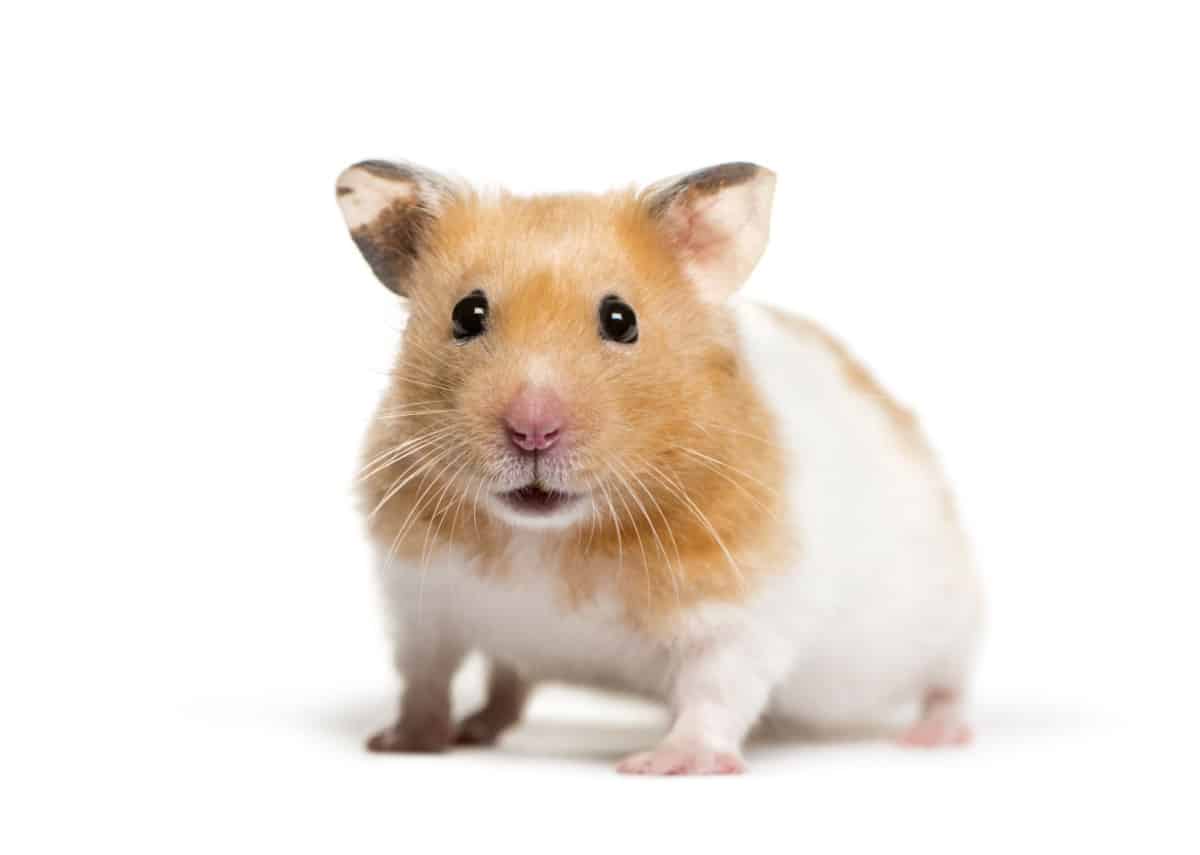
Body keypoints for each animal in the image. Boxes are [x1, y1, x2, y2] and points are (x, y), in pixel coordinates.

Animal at [334, 160, 982, 774]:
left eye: (621, 320)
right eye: (467, 314)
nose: (532, 430)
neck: (544, 539)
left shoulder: (741, 608)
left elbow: (715, 691)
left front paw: (664, 765)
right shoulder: (418, 600)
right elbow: (424, 679)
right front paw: (400, 744)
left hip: (946, 617)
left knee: (950, 680)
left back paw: (935, 736)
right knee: (507, 681)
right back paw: (476, 727)